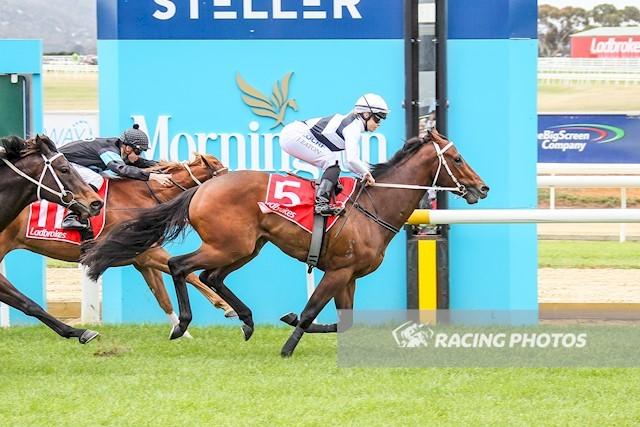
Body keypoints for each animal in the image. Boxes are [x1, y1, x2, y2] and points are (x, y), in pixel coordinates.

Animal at [82, 129, 489, 355]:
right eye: (456, 158)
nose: (482, 187)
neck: (374, 206)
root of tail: (200, 189)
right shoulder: (337, 271)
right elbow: (310, 313)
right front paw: (288, 346)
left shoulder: (348, 275)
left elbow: (345, 322)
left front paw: (290, 321)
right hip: (227, 245)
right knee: (180, 266)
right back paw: (183, 324)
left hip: (248, 246)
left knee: (213, 277)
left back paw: (246, 321)